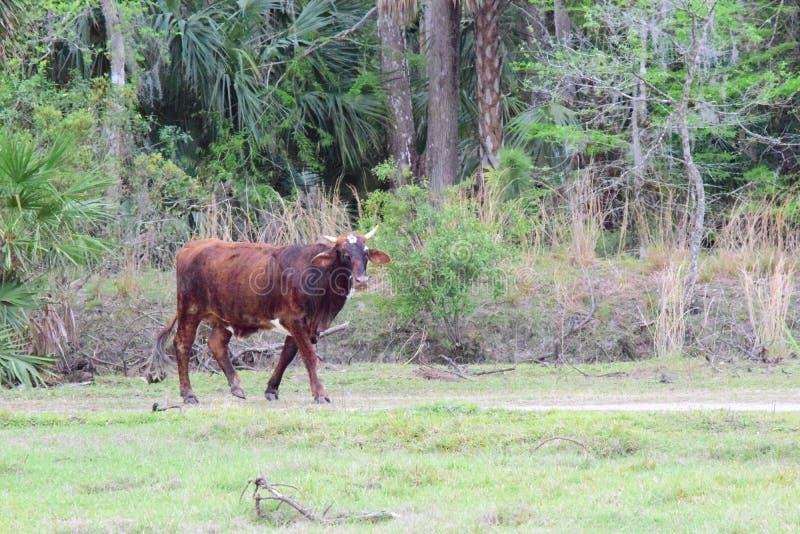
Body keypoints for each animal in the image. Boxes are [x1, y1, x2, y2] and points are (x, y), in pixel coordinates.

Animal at [153, 227, 390, 404]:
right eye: (345, 254)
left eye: (365, 253)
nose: (361, 280)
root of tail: (192, 245)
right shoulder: (295, 320)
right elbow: (309, 357)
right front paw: (320, 394)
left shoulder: (300, 325)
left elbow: (287, 355)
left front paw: (271, 389)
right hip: (189, 310)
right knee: (182, 344)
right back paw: (188, 394)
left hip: (225, 315)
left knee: (216, 343)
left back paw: (236, 386)